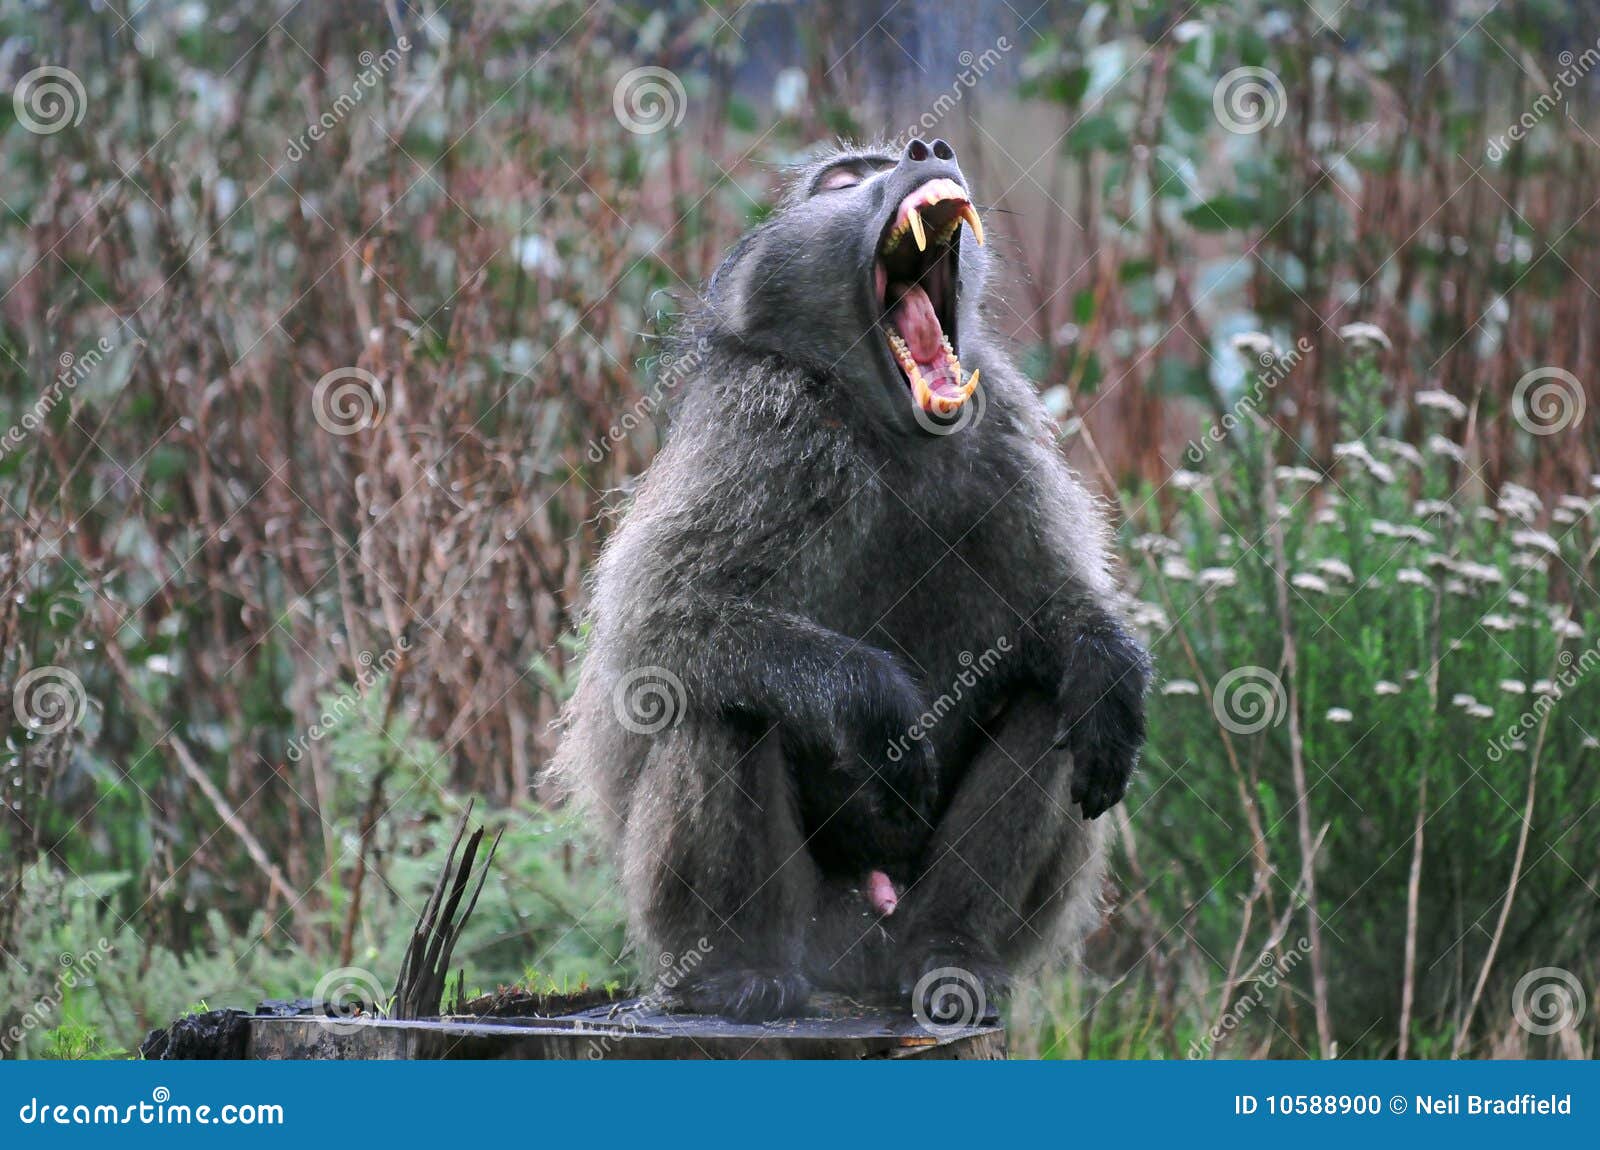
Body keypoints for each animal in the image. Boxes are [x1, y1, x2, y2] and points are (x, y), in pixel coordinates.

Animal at [550, 137, 1151, 1025]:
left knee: (1054, 705)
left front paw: (1109, 660)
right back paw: (738, 969)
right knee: (719, 698)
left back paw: (951, 957)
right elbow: (649, 633)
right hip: (771, 916)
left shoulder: (1000, 428)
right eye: (843, 181)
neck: (885, 427)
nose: (929, 147)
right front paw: (875, 705)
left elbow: (1058, 618)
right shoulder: (758, 426)